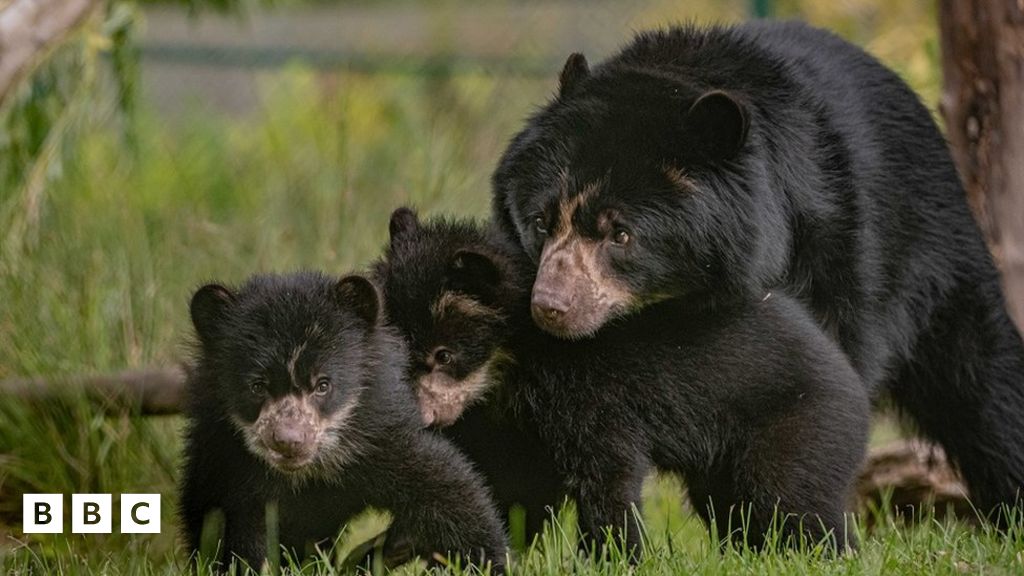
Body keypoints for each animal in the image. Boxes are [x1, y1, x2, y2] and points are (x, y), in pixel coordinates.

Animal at [178, 271, 507, 572]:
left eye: (323, 385)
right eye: (257, 386)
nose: (288, 441)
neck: (309, 474)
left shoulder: (381, 437)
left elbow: (448, 491)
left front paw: (486, 561)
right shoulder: (226, 465)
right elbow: (226, 530)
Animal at [374, 208, 870, 557]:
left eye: (444, 355)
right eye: (399, 350)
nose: (422, 417)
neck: (512, 370)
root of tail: (852, 382)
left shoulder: (588, 395)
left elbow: (607, 474)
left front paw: (613, 556)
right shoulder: (515, 425)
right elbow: (516, 488)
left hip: (798, 425)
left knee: (792, 501)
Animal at [491, 21, 1024, 522]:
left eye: (620, 234)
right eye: (540, 222)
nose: (551, 307)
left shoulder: (828, 246)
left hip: (934, 253)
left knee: (980, 378)